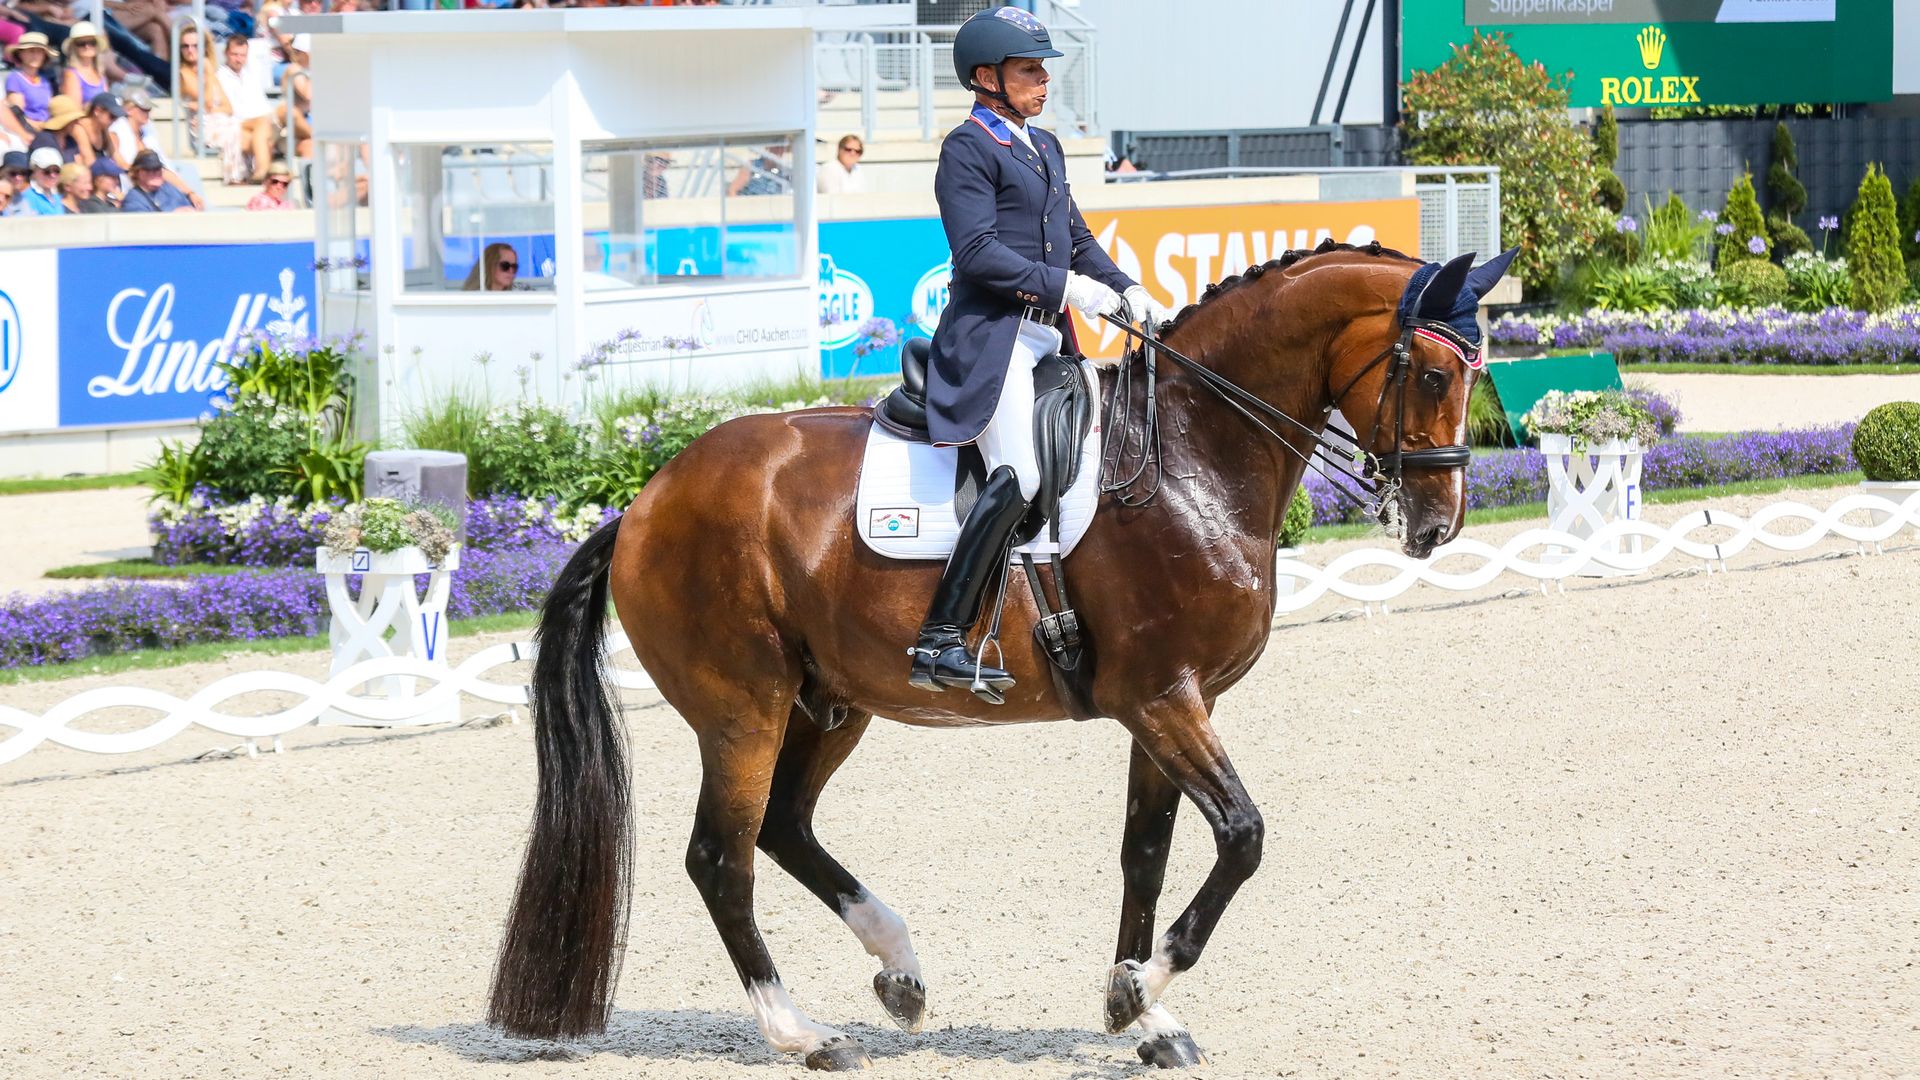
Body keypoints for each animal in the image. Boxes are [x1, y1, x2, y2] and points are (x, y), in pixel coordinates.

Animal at [484, 241, 1513, 1071]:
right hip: (745, 707)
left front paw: (1140, 1012)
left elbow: (1146, 853)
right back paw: (802, 1033)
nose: (1436, 525)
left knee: (782, 829)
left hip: (831, 702)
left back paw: (900, 974)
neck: (1191, 458)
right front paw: (1144, 987)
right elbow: (1243, 836)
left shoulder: (1173, 703)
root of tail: (644, 503)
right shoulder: (1162, 697)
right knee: (720, 859)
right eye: (1430, 375)